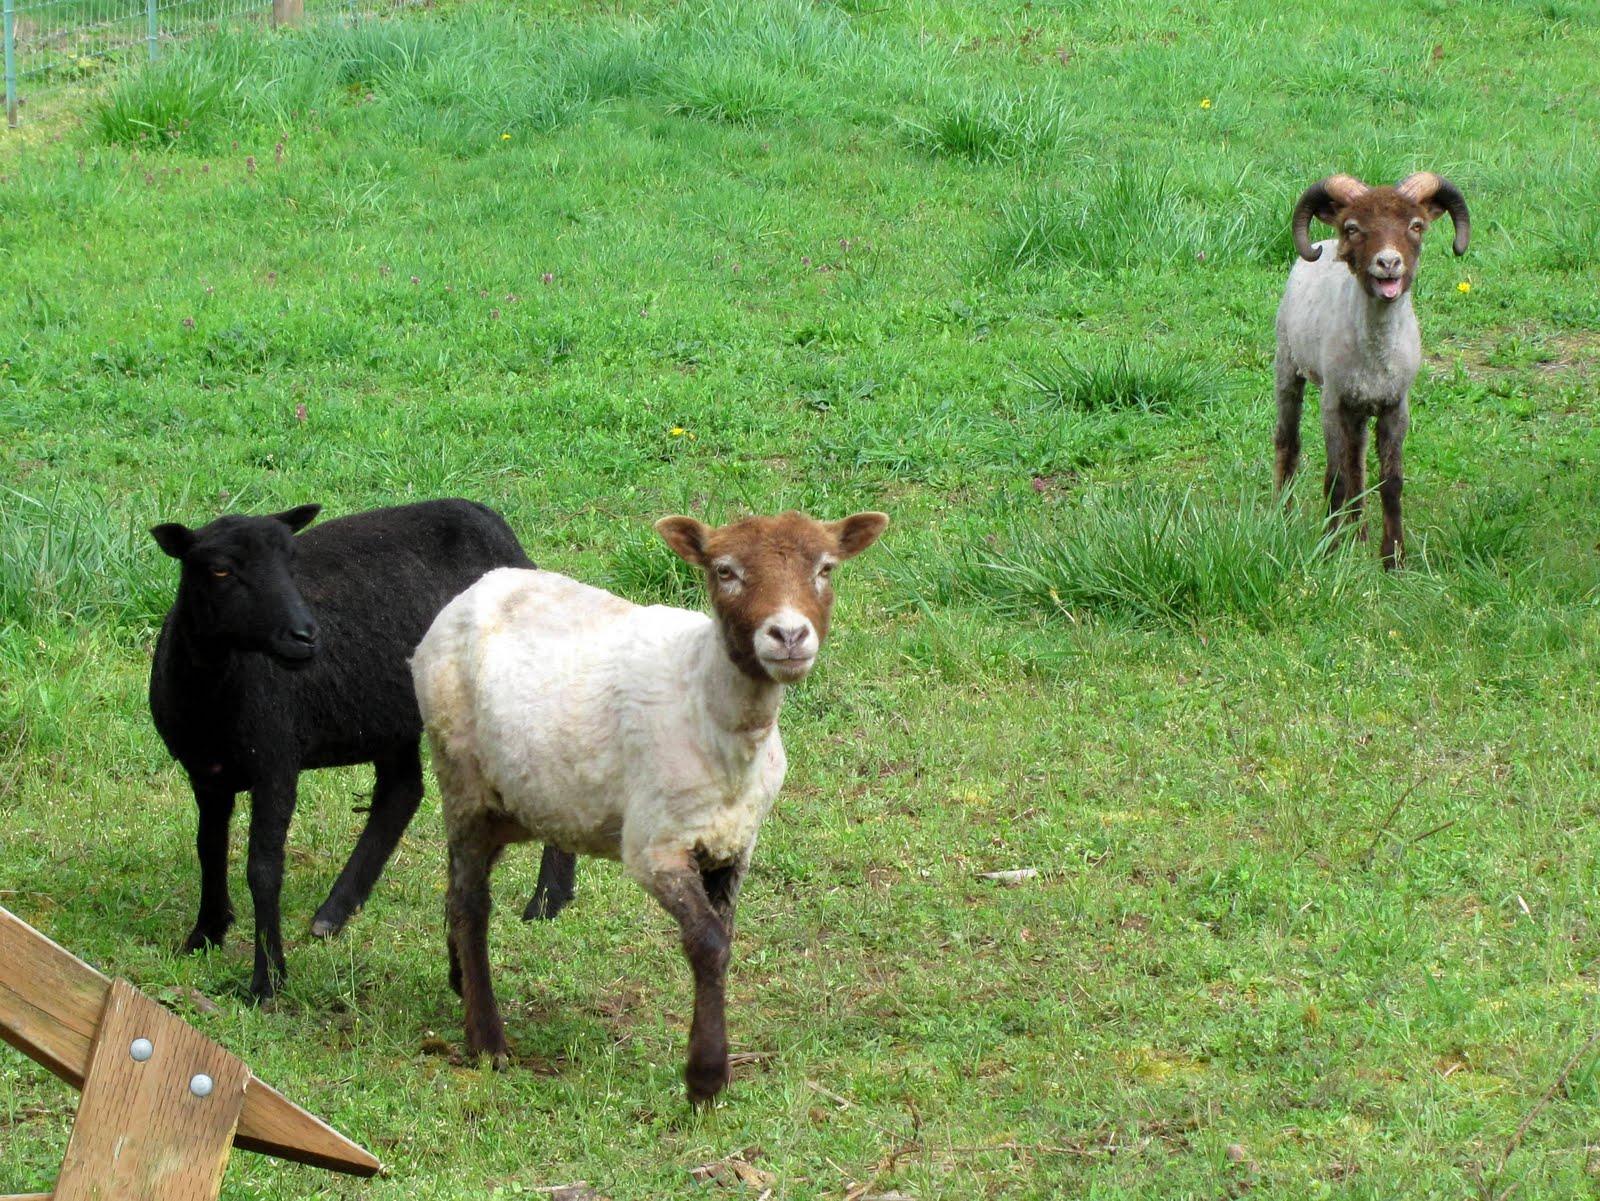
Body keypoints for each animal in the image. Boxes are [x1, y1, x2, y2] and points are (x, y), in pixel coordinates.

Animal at [148, 498, 578, 1001]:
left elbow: (263, 868)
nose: (305, 635)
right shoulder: (205, 772)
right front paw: (205, 934)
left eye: (291, 562)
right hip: (389, 716)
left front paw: (267, 979)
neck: (214, 692)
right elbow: (209, 848)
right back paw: (335, 911)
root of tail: (503, 537)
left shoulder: (276, 763)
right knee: (402, 791)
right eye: (219, 570)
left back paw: (548, 900)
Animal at [412, 509, 889, 1104]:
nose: (789, 635)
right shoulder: (655, 845)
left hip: (512, 798)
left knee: (457, 886)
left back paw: (459, 980)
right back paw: (487, 1042)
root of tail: (477, 589)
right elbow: (707, 942)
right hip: (462, 774)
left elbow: (724, 939)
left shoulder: (736, 843)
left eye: (825, 568)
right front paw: (706, 1077)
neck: (709, 703)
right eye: (725, 571)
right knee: (471, 902)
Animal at [1273, 171, 1470, 568]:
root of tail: (1320, 241)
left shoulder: (1396, 405)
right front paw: (1329, 551)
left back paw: (1358, 533)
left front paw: (1393, 558)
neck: (1375, 355)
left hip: (1361, 409)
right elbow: (1334, 479)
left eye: (1416, 226)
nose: (1389, 263)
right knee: (1288, 443)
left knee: (1358, 461)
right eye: (1353, 228)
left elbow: (1390, 481)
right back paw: (1282, 518)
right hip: (1288, 364)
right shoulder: (1333, 401)